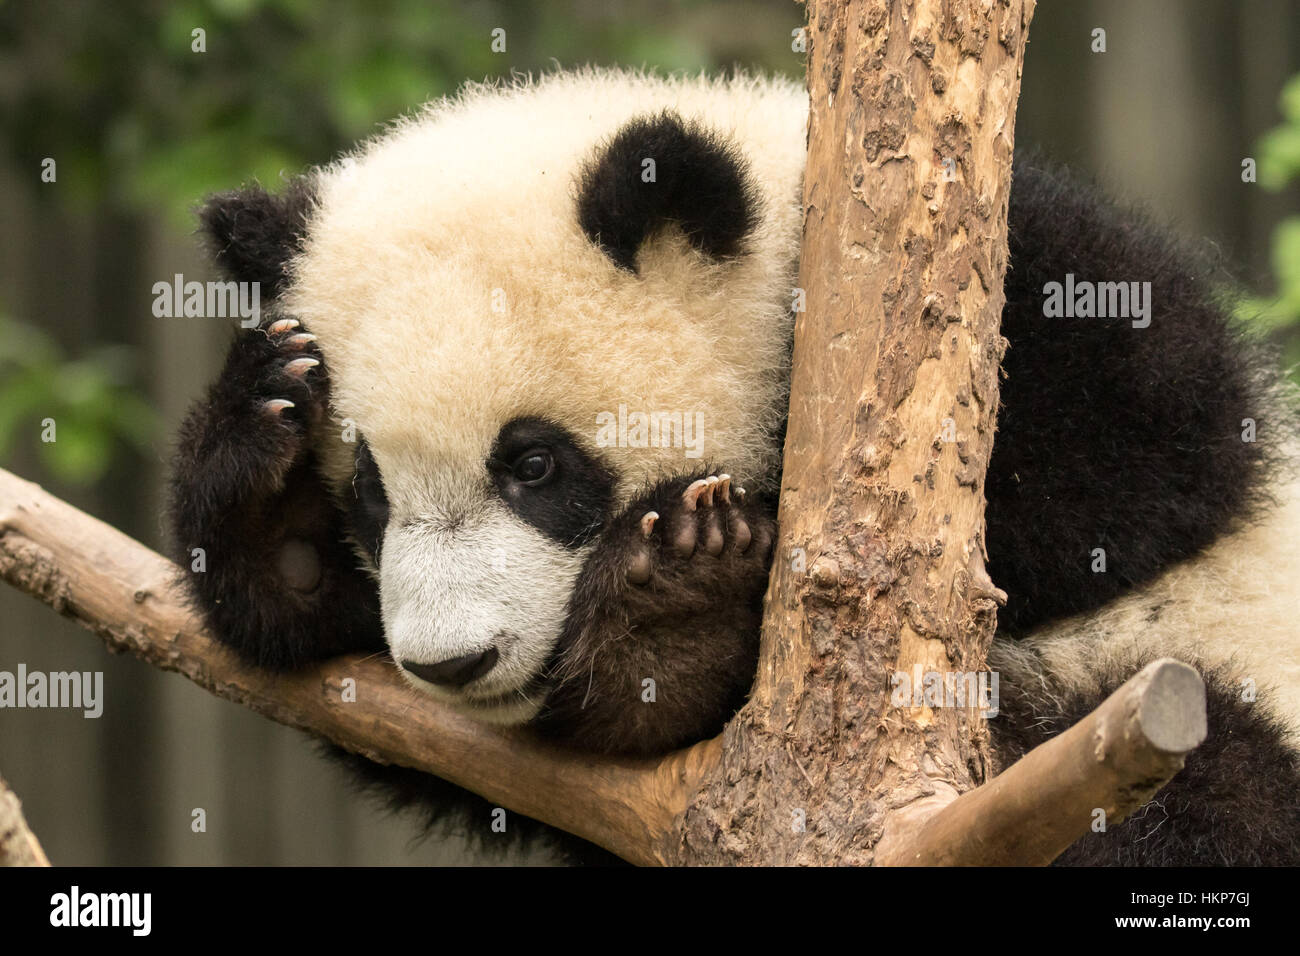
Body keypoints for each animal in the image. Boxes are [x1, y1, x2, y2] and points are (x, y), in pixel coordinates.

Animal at [169, 68, 1300, 865]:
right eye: (369, 491)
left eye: (533, 464)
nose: (453, 663)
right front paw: (271, 489)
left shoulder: (1043, 284)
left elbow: (1143, 454)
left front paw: (680, 590)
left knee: (1207, 803)